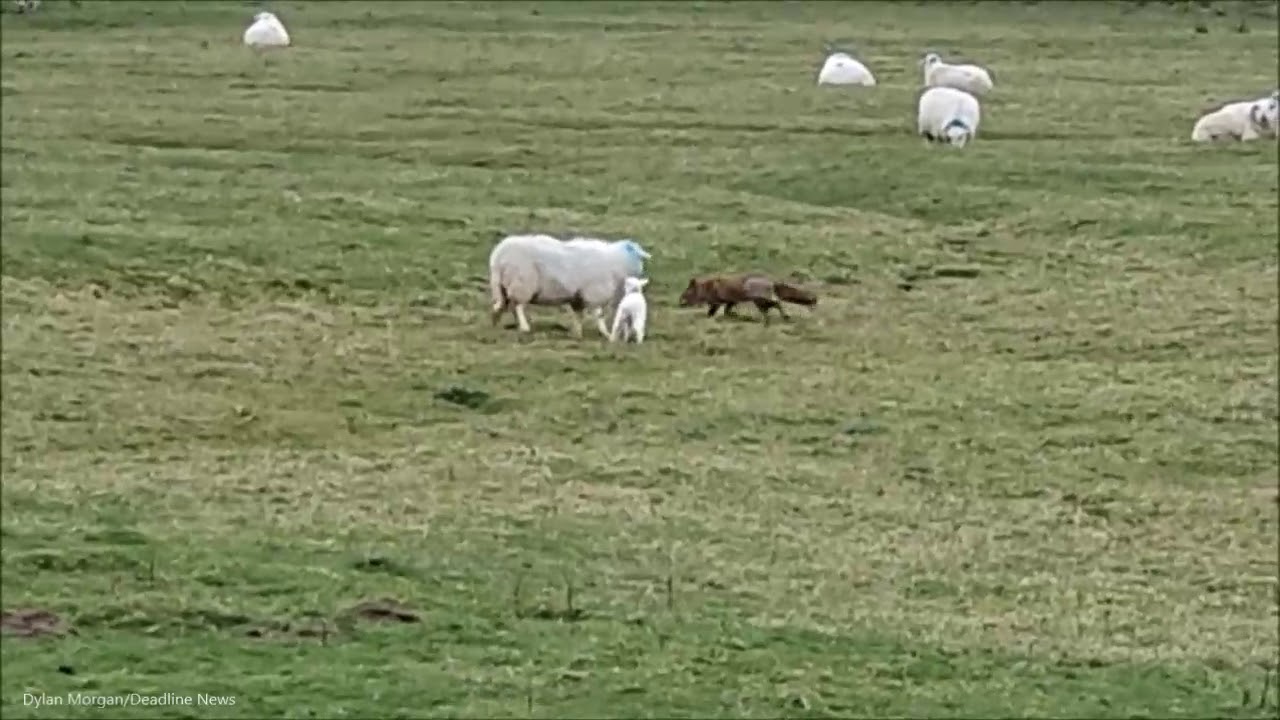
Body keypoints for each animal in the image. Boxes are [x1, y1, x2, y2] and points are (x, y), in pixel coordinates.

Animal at [488, 234, 651, 337]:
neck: (616, 260)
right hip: (522, 283)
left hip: (501, 286)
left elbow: (578, 315)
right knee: (518, 307)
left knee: (500, 306)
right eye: (638, 255)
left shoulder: (578, 298)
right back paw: (524, 327)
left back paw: (496, 324)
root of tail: (498, 256)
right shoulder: (595, 292)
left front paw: (577, 332)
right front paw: (604, 332)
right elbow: (599, 314)